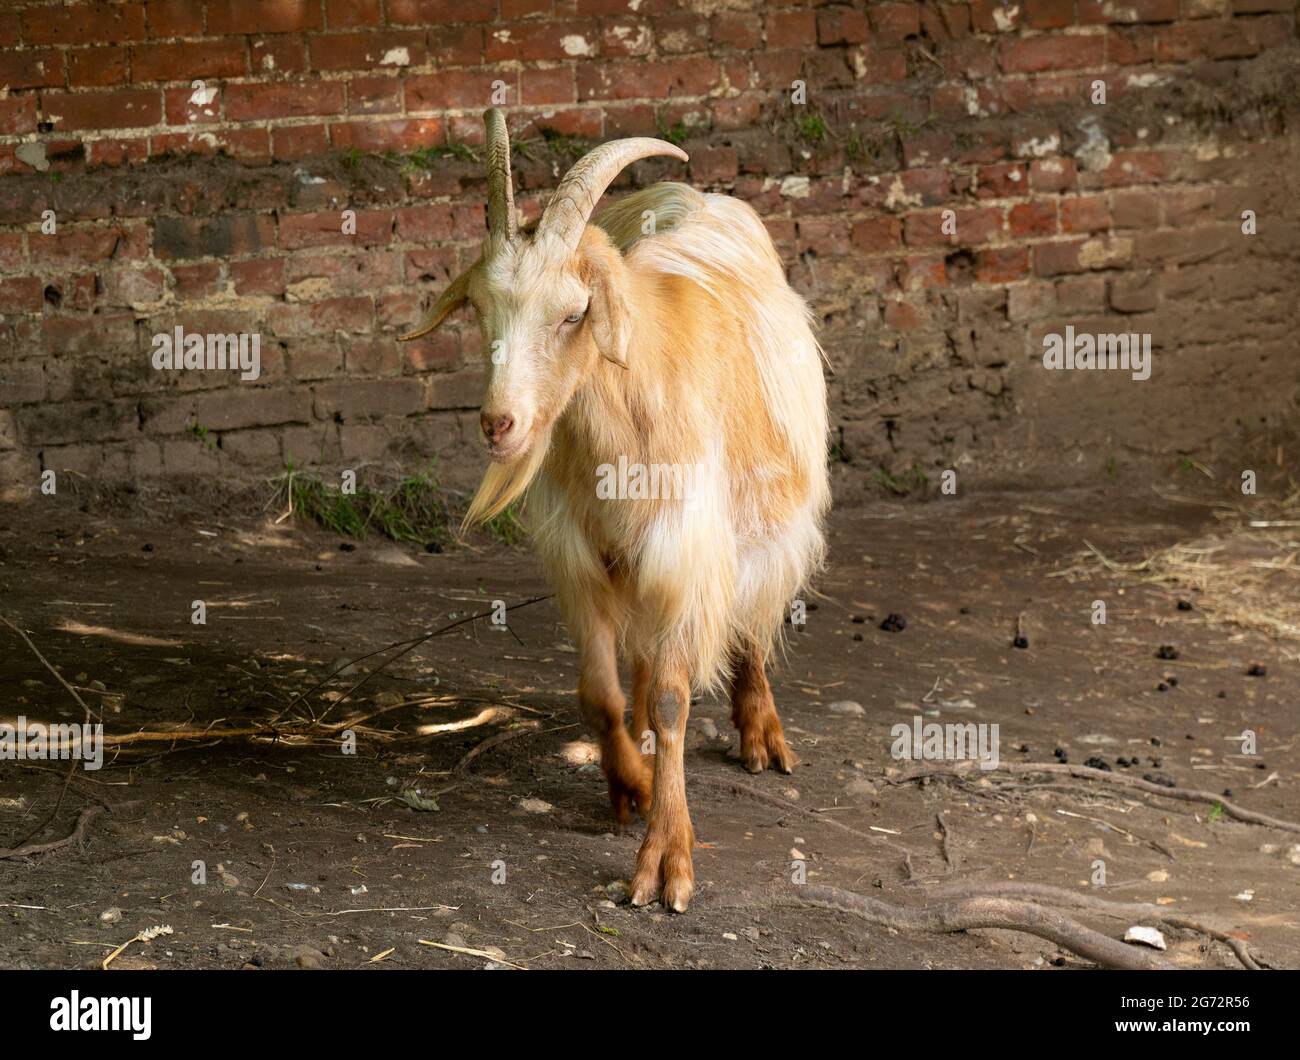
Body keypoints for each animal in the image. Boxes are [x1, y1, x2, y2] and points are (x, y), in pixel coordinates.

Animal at [402, 109, 830, 912]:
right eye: (480, 310)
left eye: (574, 314)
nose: (499, 424)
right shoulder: (581, 552)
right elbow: (598, 690)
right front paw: (631, 779)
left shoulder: (686, 548)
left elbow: (673, 693)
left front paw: (666, 860)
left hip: (764, 522)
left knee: (752, 616)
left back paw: (761, 734)